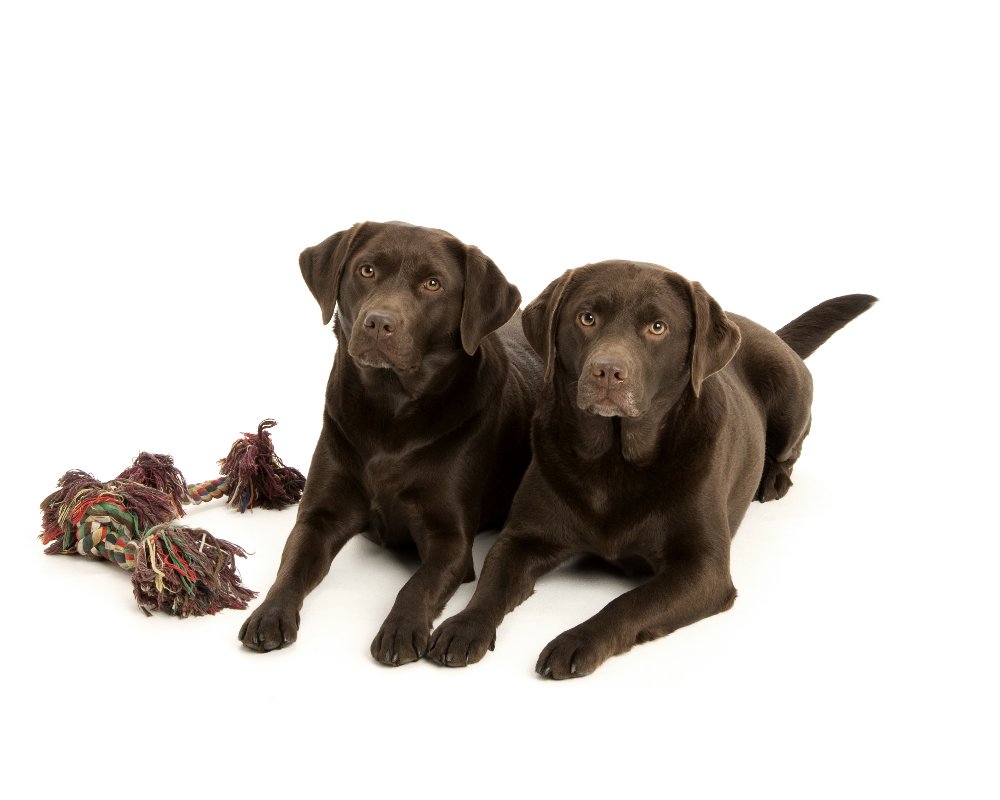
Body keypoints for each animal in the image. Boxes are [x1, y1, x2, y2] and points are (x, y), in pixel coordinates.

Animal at [239, 220, 544, 664]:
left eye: (433, 283)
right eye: (366, 270)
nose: (379, 322)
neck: (390, 410)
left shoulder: (452, 541)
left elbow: (417, 583)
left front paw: (400, 628)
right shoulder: (319, 516)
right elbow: (290, 567)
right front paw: (270, 613)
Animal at [426, 260, 880, 680]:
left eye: (657, 327)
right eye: (587, 318)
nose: (608, 371)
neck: (614, 461)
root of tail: (769, 331)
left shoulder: (703, 568)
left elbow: (629, 602)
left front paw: (576, 641)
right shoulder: (521, 538)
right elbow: (491, 584)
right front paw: (463, 627)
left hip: (789, 392)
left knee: (792, 446)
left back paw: (772, 478)